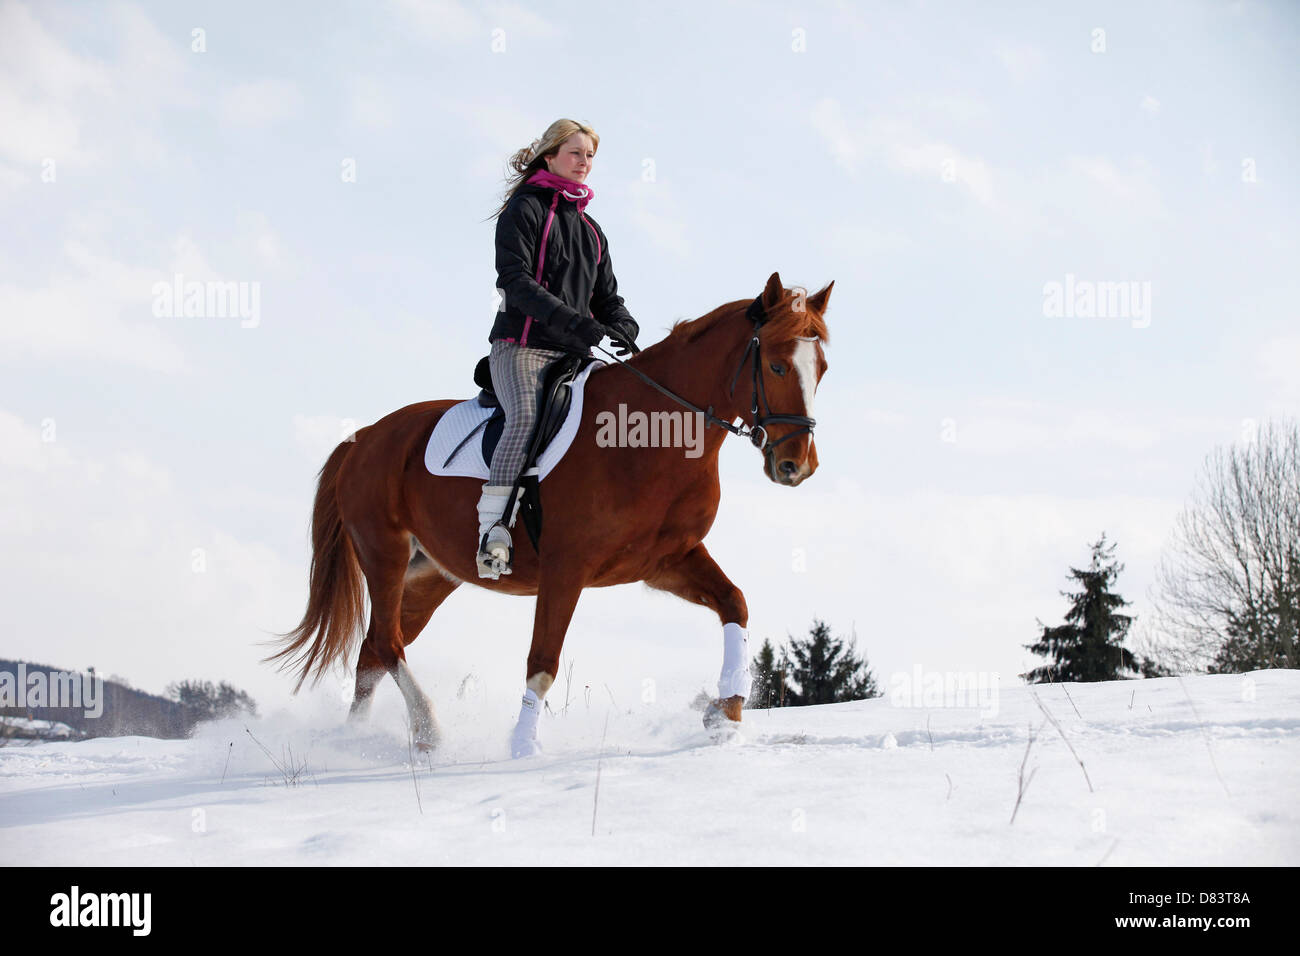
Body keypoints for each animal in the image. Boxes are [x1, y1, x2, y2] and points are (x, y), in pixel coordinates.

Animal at [267, 271, 832, 756]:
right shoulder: (566, 569)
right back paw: (427, 731)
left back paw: (351, 743)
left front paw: (727, 715)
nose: (797, 465)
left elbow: (734, 603)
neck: (647, 433)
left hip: (429, 576)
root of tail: (363, 438)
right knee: (386, 644)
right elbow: (542, 660)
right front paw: (523, 747)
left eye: (821, 370)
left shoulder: (666, 562)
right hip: (383, 555)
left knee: (372, 652)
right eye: (777, 366)